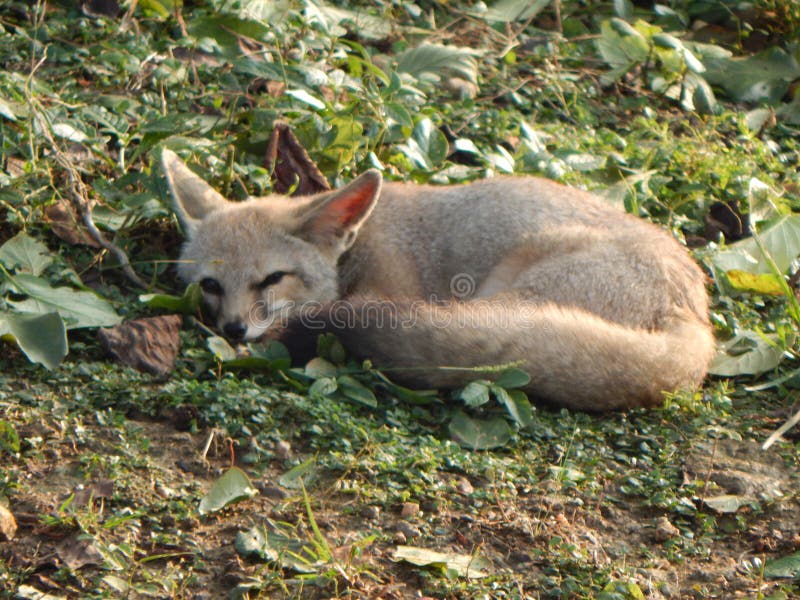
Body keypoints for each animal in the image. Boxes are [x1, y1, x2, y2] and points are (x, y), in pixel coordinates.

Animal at [162, 149, 715, 411]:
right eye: (210, 285)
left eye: (273, 278)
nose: (233, 330)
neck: (355, 251)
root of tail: (695, 310)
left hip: (503, 296)